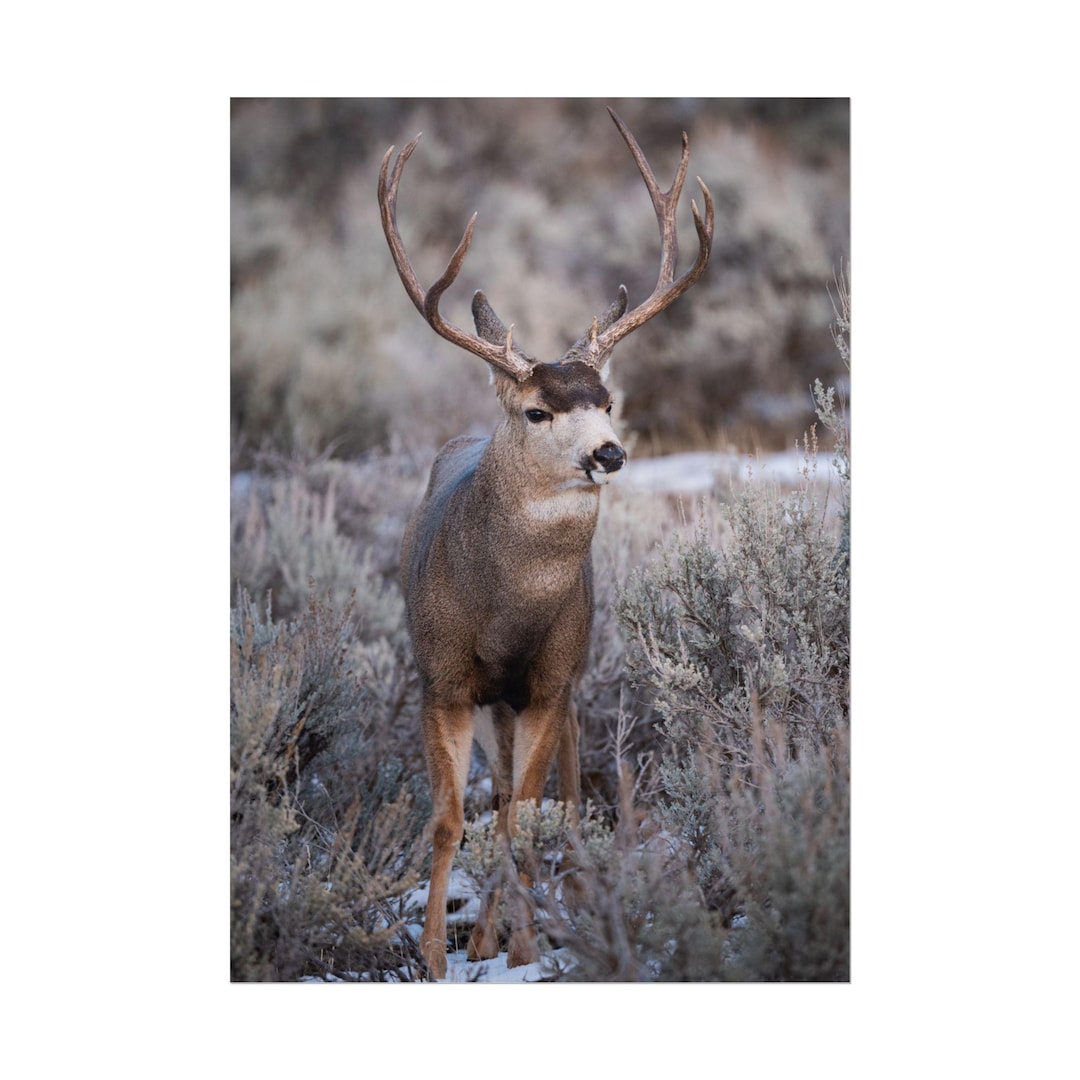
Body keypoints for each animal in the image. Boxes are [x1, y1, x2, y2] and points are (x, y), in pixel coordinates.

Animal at [377, 107, 713, 979]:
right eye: (537, 410)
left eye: (606, 399)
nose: (610, 453)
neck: (505, 612)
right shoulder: (442, 676)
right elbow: (449, 819)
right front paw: (433, 957)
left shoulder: (550, 679)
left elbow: (526, 816)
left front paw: (522, 945)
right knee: (493, 799)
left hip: (552, 690)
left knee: (536, 794)